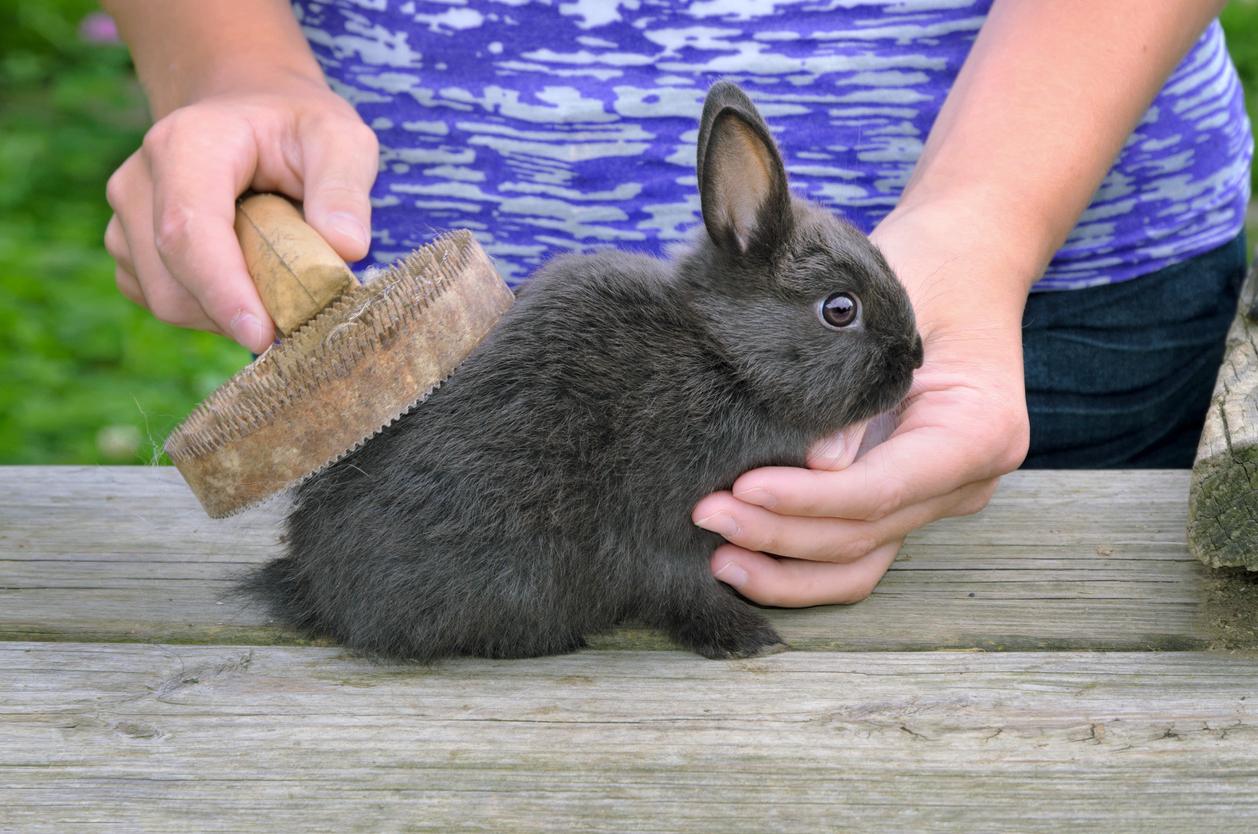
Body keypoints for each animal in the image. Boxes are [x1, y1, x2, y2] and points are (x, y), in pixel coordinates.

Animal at [243, 81, 924, 661]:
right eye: (840, 309)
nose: (915, 359)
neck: (725, 359)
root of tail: (314, 585)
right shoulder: (666, 524)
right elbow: (680, 586)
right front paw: (747, 638)